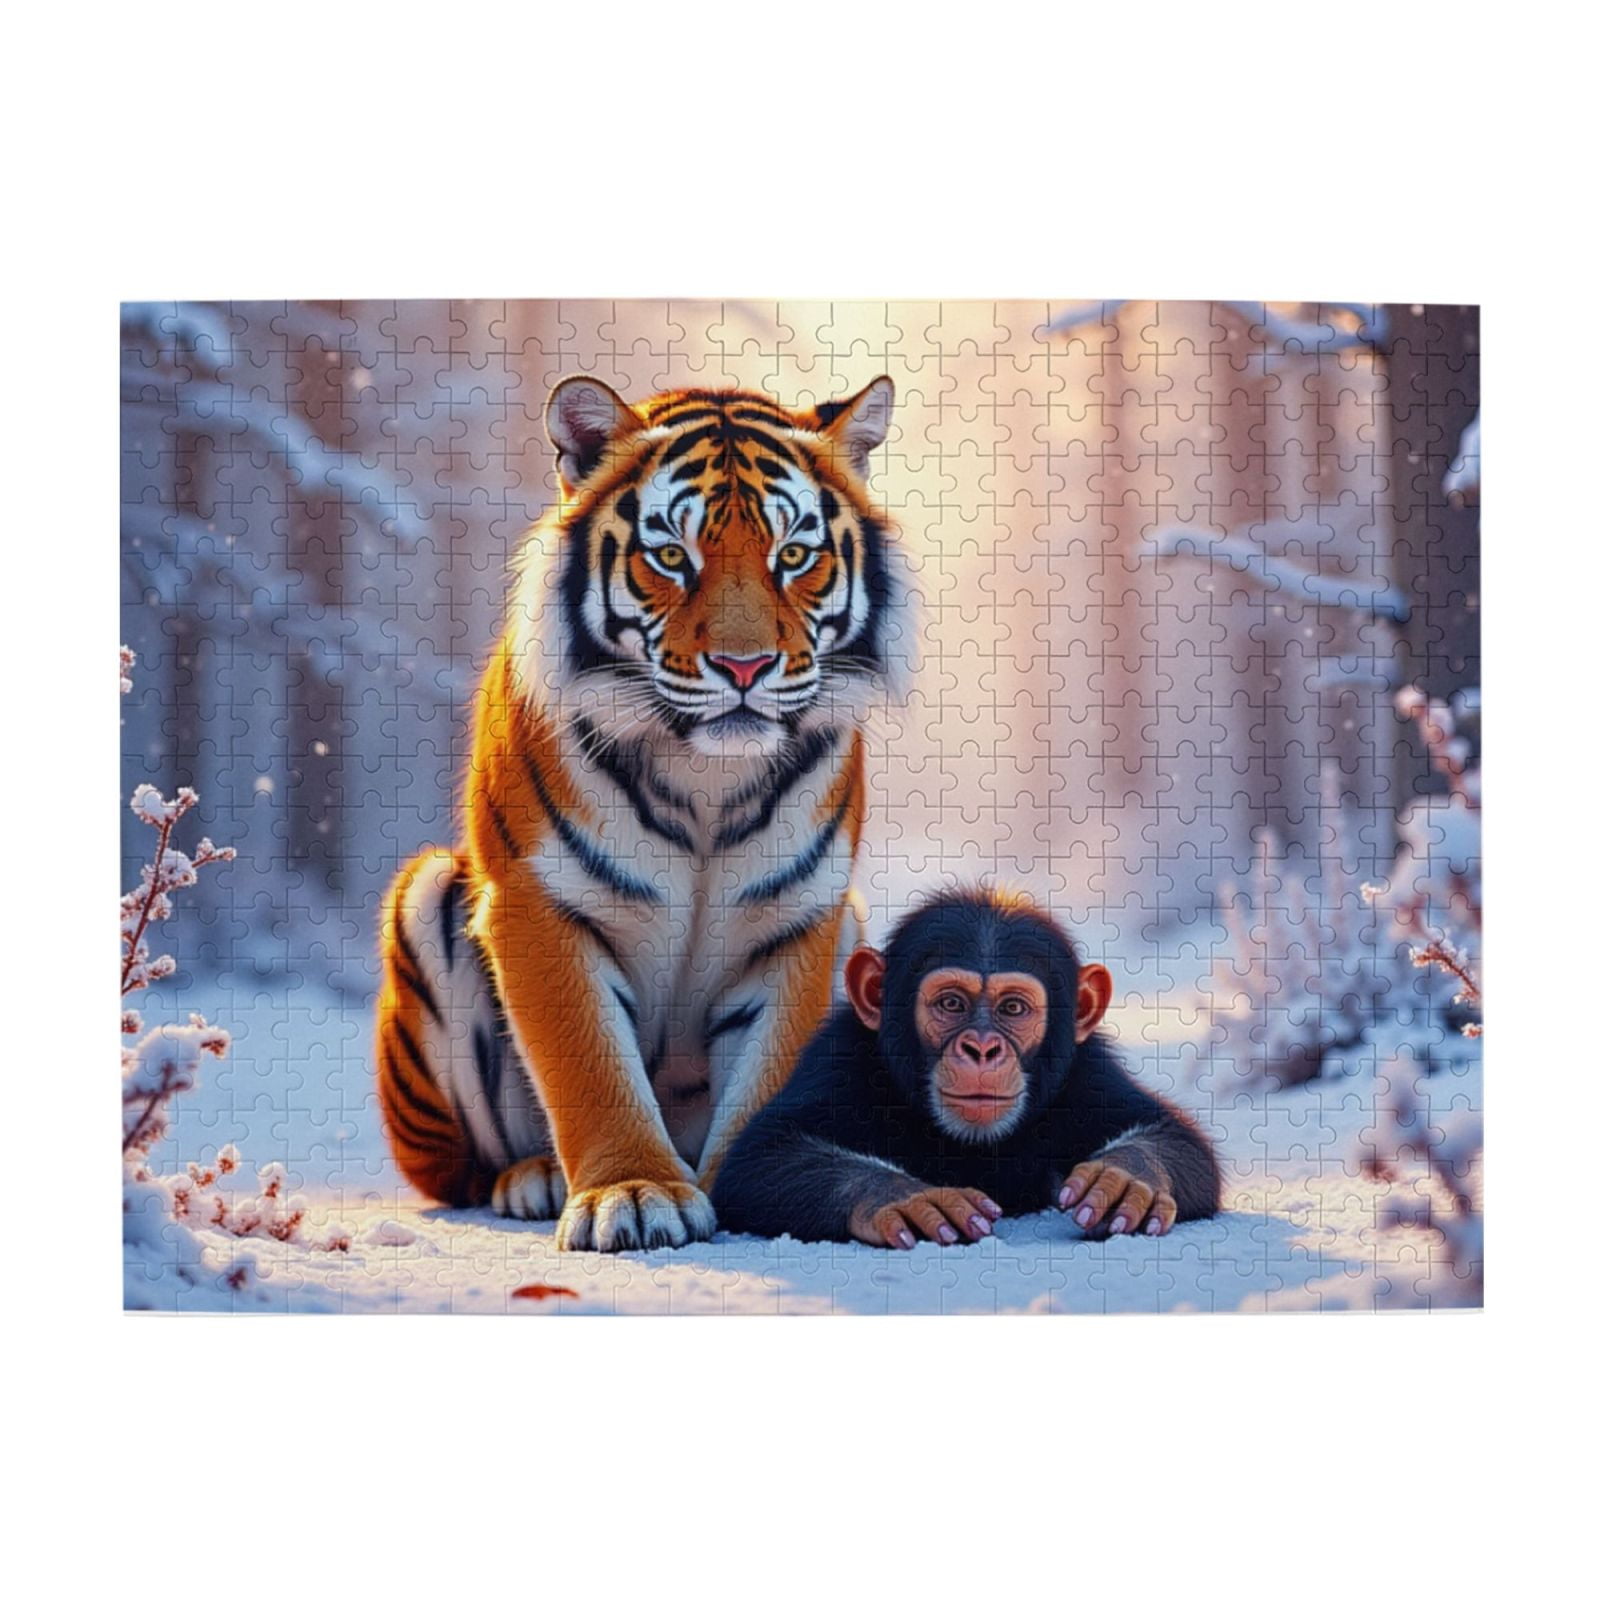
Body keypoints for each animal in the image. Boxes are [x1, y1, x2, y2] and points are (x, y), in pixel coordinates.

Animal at [375, 373, 908, 1251]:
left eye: (794, 555)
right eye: (671, 557)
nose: (744, 667)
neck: (706, 777)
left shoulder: (799, 914)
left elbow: (771, 1071)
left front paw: (763, 1187)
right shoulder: (538, 903)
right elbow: (588, 1063)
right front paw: (632, 1192)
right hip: (429, 897)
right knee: (465, 1171)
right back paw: (535, 1179)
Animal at [711, 888, 1221, 1247]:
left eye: (1013, 1008)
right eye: (951, 1003)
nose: (981, 1048)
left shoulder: (1089, 1073)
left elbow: (1175, 1135)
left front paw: (1125, 1175)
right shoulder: (838, 1058)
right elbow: (760, 1157)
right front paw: (899, 1195)